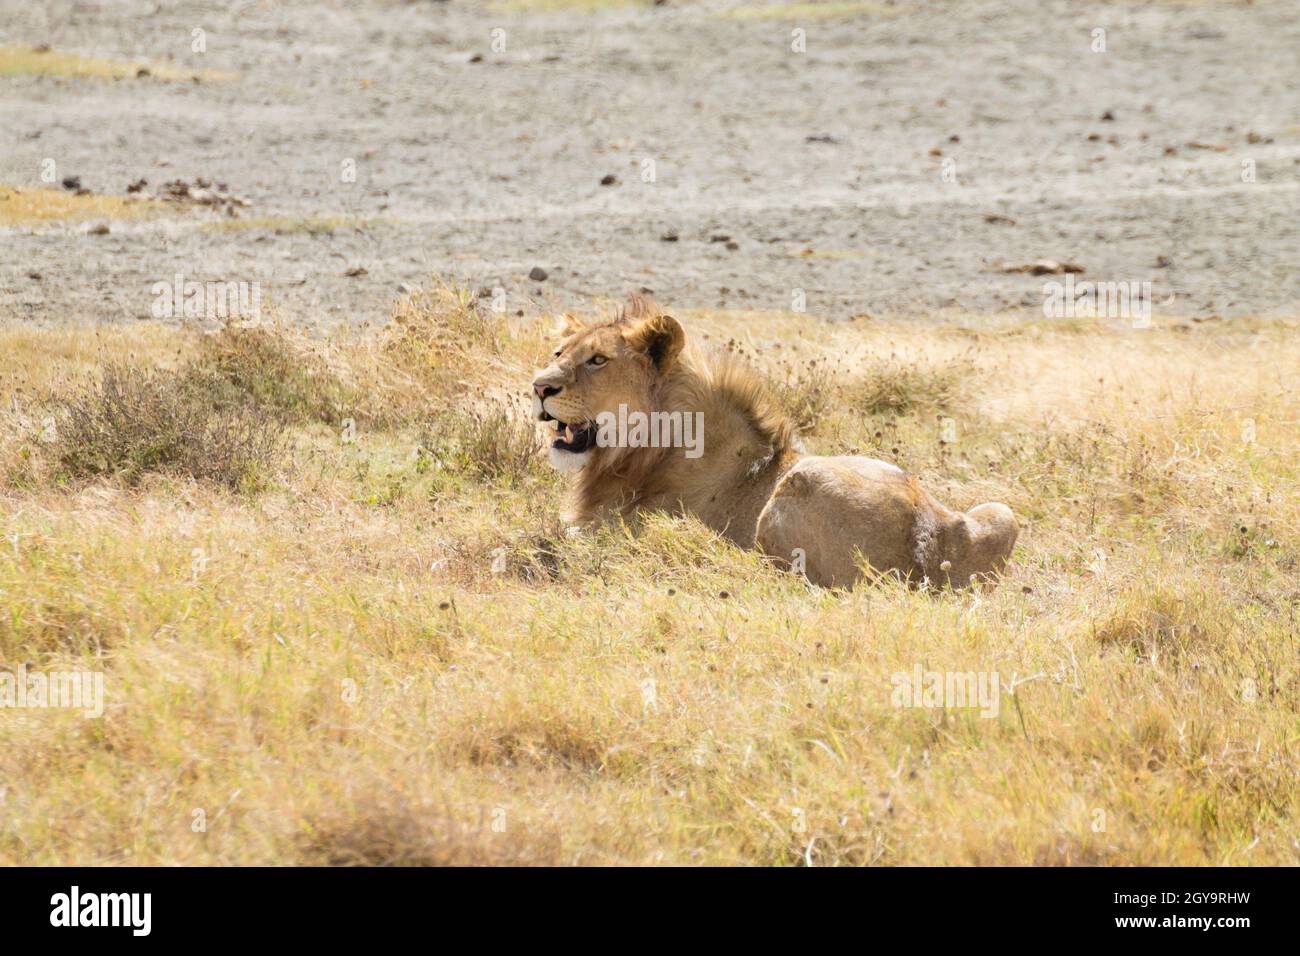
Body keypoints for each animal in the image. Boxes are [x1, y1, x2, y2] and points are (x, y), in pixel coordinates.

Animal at [530, 295, 1018, 589]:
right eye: (559, 353)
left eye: (598, 360)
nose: (538, 387)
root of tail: (932, 555)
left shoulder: (615, 531)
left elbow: (550, 534)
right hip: (998, 512)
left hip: (803, 480)